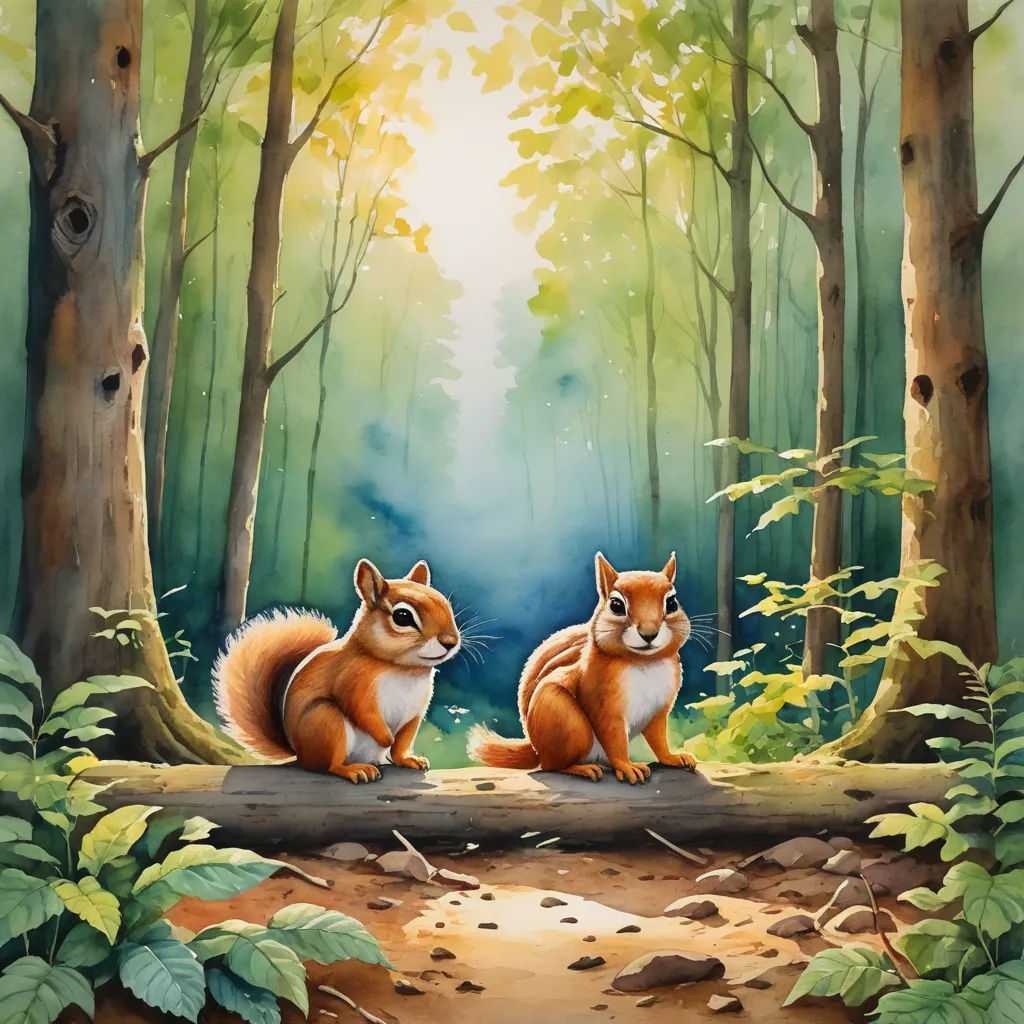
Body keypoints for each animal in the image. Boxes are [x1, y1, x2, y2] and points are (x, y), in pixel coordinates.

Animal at [213, 558, 460, 784]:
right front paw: (385, 737)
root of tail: (300, 754)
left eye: (446, 606)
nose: (451, 642)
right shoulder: (351, 681)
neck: (404, 669)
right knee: (330, 765)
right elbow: (362, 711)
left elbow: (402, 744)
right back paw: (355, 770)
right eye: (402, 617)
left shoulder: (414, 713)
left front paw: (410, 759)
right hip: (326, 721)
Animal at [467, 552, 696, 785]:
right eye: (616, 606)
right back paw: (582, 768)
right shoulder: (602, 701)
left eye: (672, 603)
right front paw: (627, 767)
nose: (649, 633)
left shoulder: (658, 710)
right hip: (568, 722)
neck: (644, 662)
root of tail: (538, 750)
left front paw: (673, 758)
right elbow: (614, 738)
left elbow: (658, 739)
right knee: (553, 765)